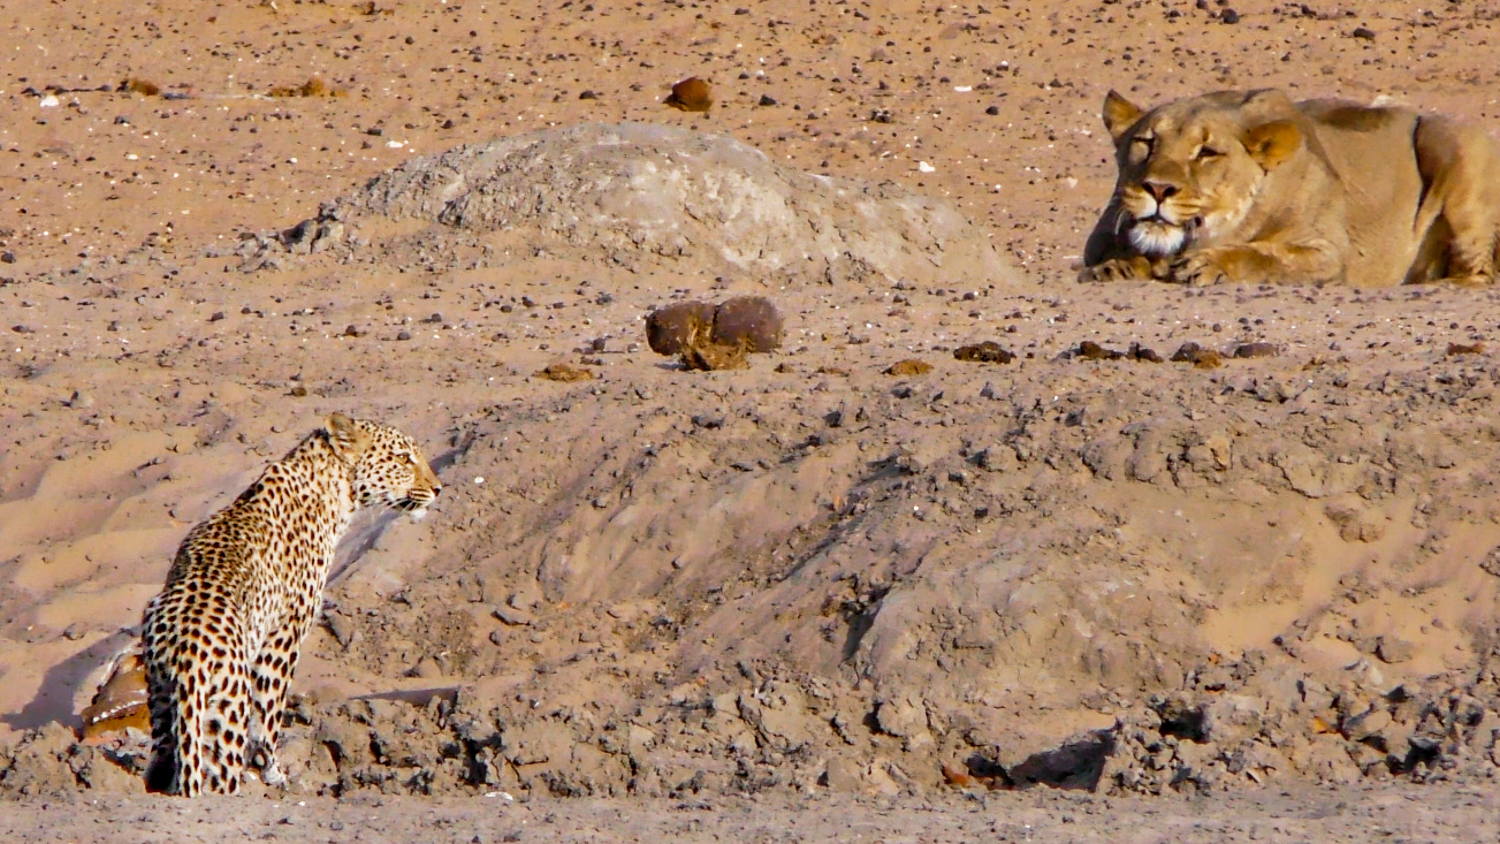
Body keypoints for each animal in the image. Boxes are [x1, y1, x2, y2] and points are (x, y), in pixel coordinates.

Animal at [140, 413, 441, 796]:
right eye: (403, 459)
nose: (439, 488)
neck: (335, 490)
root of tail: (185, 652)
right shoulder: (283, 636)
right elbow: (268, 715)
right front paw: (275, 772)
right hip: (227, 713)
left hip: (162, 702)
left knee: (162, 765)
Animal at [1080, 88, 1500, 288]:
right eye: (1146, 142)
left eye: (1207, 152)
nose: (1157, 188)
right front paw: (1117, 268)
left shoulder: (1328, 253)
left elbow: (1268, 255)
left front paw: (1211, 263)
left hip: (1451, 140)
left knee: (1480, 272)